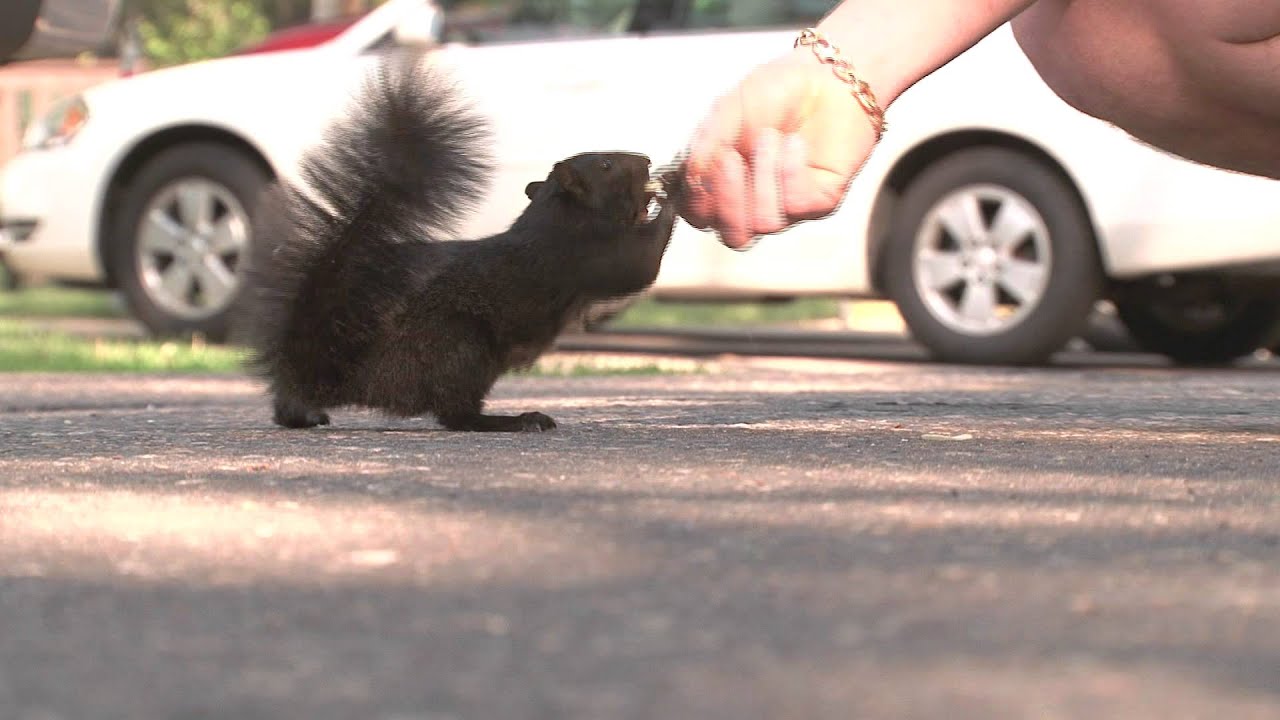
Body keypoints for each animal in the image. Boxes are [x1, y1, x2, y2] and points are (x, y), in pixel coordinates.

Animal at [237, 52, 683, 432]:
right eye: (605, 165)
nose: (646, 161)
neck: (560, 216)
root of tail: (341, 378)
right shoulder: (586, 252)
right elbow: (639, 265)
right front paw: (672, 196)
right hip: (458, 345)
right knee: (456, 415)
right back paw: (514, 420)